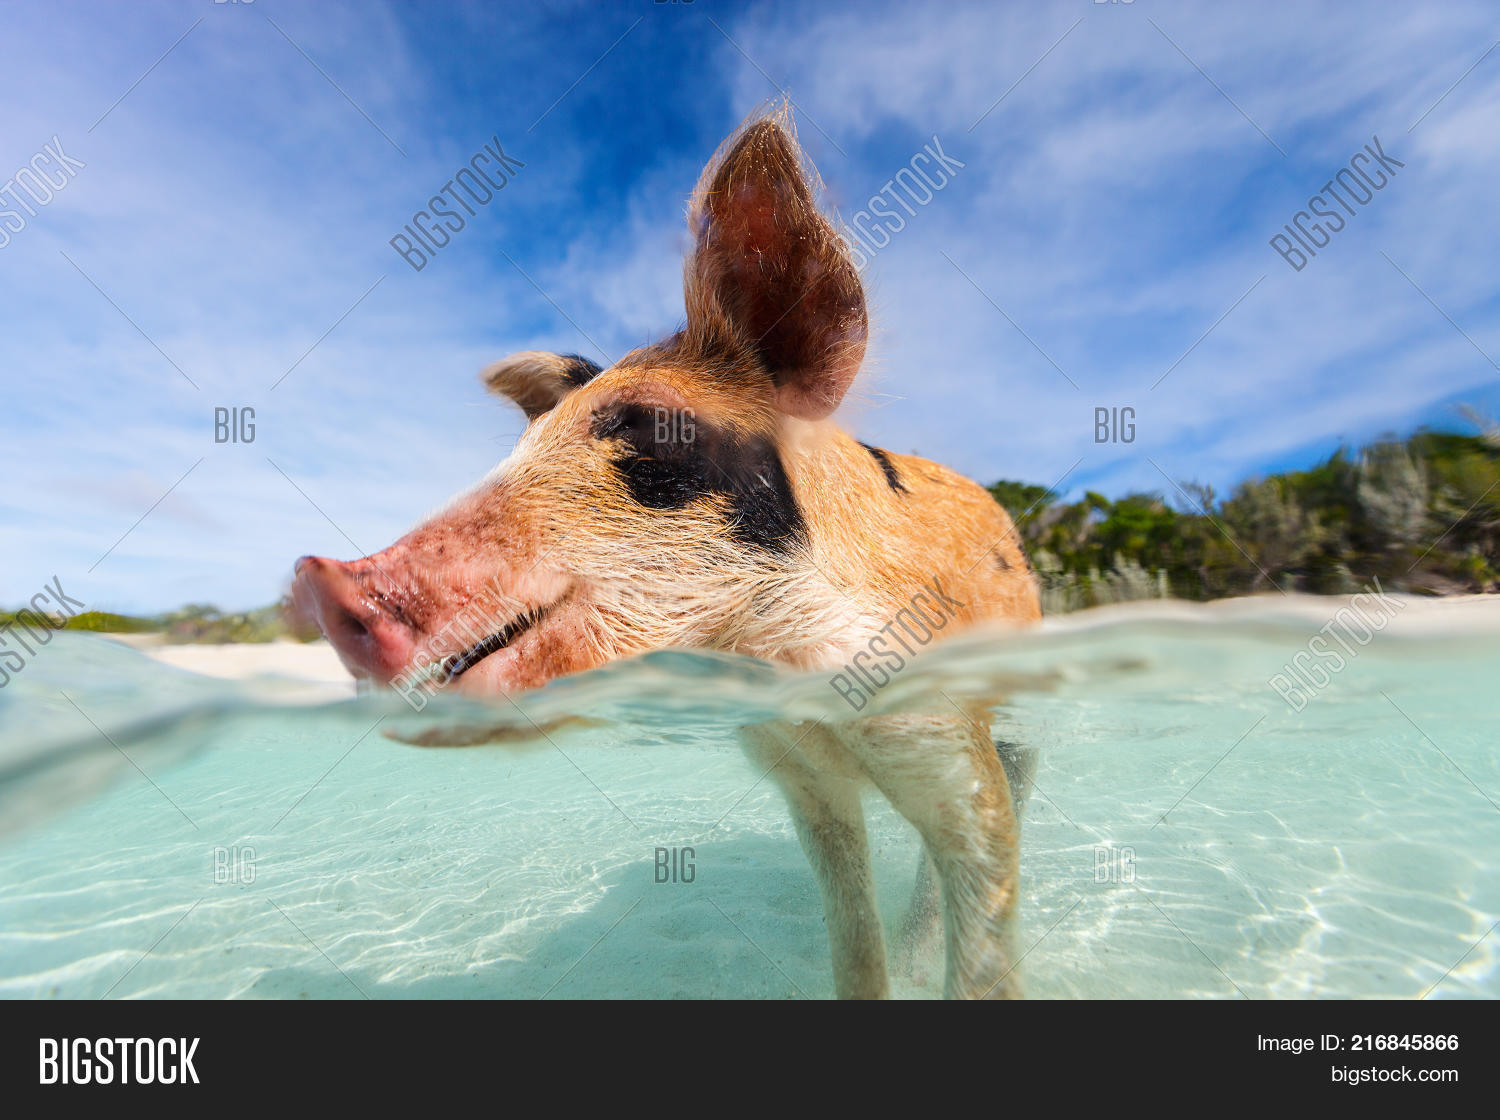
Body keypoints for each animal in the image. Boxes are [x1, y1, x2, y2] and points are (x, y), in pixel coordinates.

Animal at [291, 107, 1042, 999]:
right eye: (525, 445)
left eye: (650, 427)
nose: (321, 579)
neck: (777, 666)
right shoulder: (799, 778)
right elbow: (850, 928)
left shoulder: (944, 732)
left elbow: (982, 891)